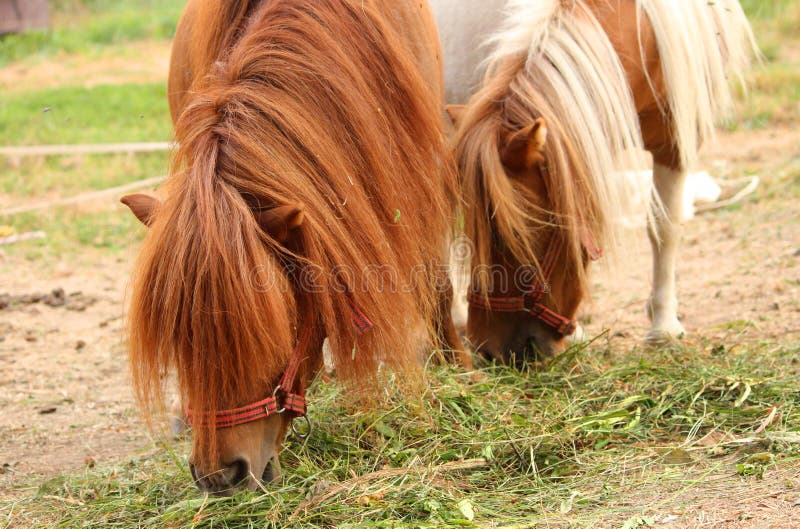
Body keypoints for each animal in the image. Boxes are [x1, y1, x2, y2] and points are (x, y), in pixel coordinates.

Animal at [120, 0, 465, 495]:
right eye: (177, 340)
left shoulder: (421, 175)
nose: (218, 477)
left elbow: (436, 283)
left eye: (272, 333)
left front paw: (459, 368)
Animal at [446, 0, 757, 363]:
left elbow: (664, 227)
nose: (491, 351)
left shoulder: (677, 140)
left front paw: (664, 328)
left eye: (518, 235)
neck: (644, 33)